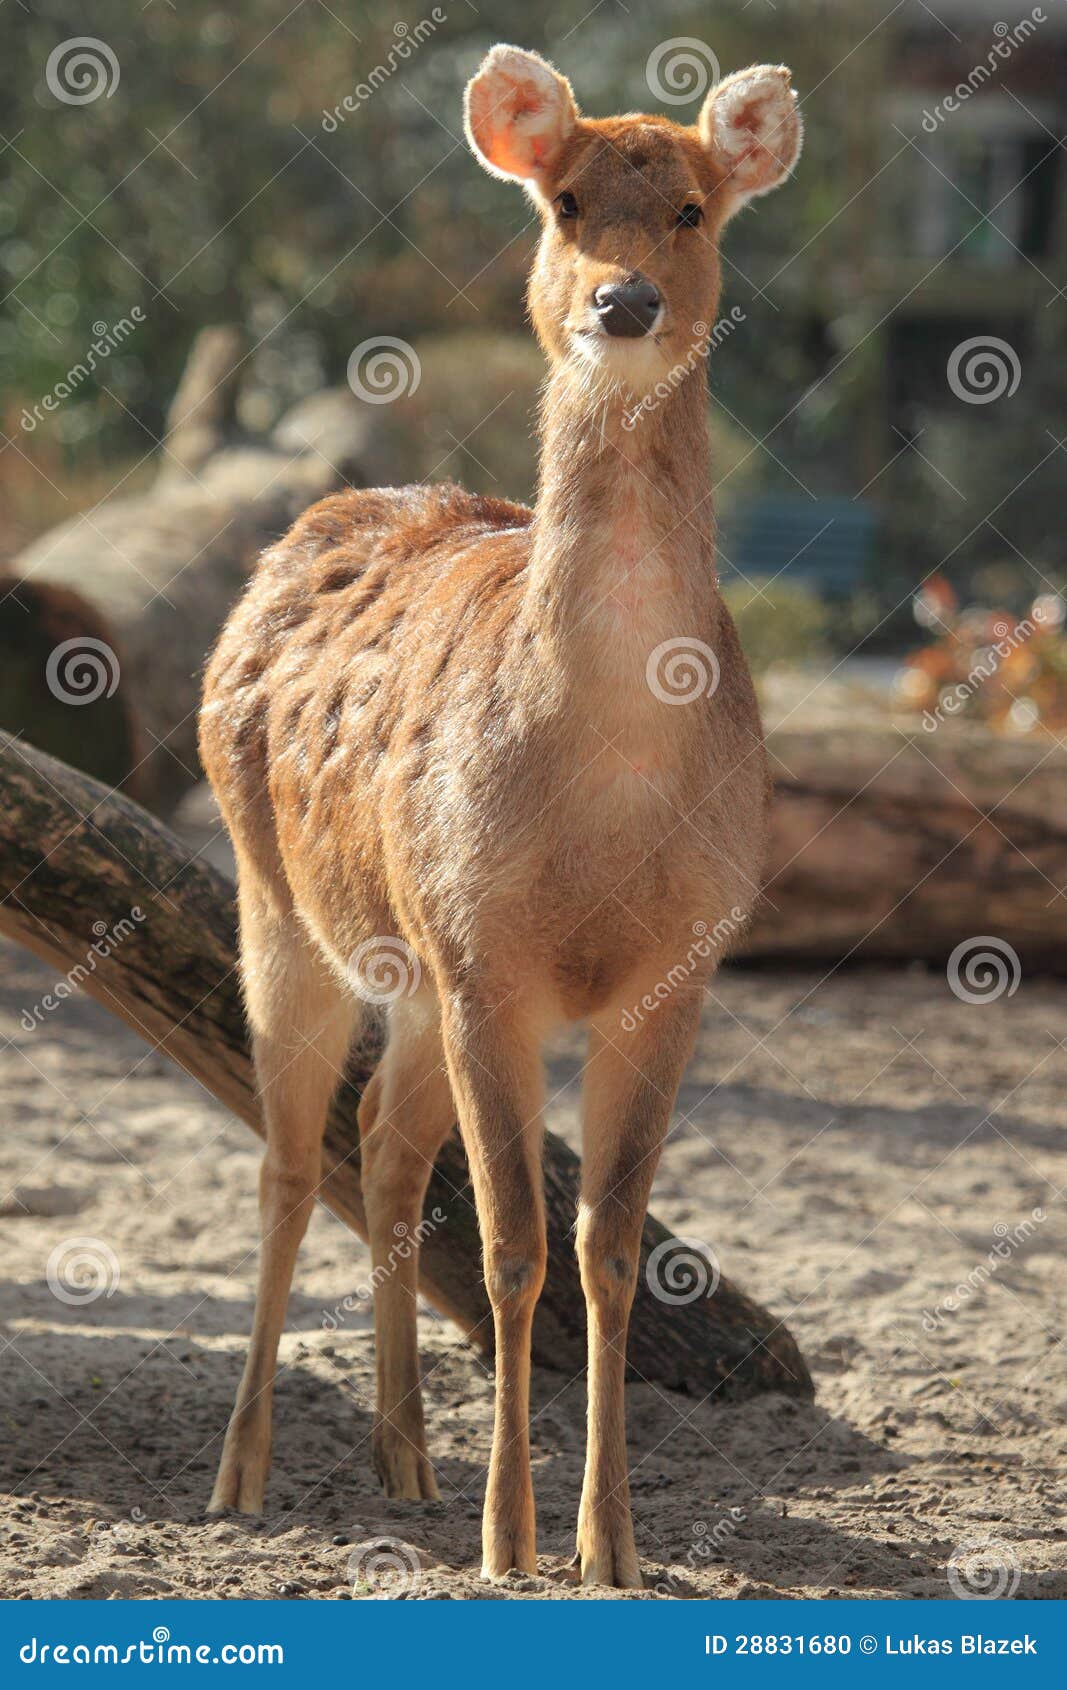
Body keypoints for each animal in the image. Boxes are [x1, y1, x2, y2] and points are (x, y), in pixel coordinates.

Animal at [198, 43, 802, 1588]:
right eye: (565, 200)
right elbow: (517, 1246)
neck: (606, 792)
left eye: (695, 209)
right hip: (275, 896)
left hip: (407, 957)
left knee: (384, 1149)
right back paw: (243, 1471)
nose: (621, 300)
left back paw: (402, 1455)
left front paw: (612, 1545)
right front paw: (509, 1539)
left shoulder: (675, 965)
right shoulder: (489, 962)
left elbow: (608, 1248)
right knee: (285, 1158)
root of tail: (306, 522)